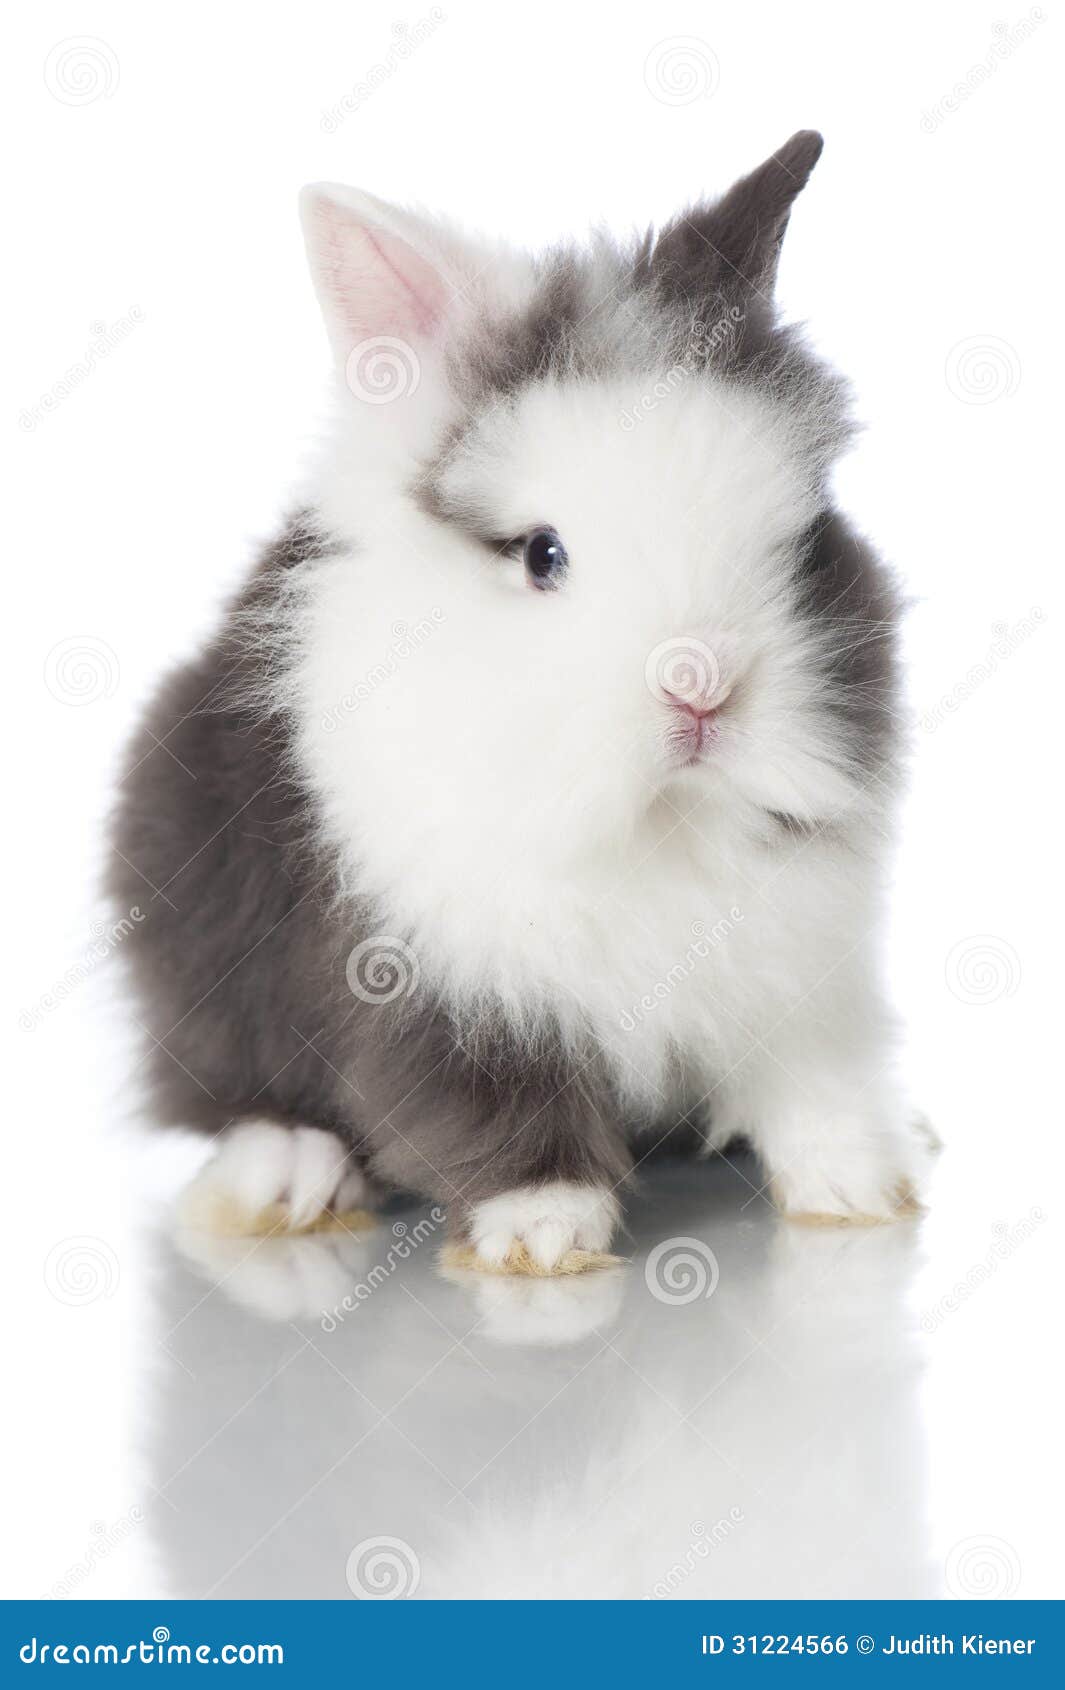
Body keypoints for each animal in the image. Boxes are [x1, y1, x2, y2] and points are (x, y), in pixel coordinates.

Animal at [110, 130, 927, 1270]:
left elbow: (813, 1080)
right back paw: (287, 1176)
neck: (654, 824)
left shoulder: (798, 968)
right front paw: (543, 1231)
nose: (703, 689)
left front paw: (857, 1186)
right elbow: (486, 1092)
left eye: (800, 540)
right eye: (543, 555)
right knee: (230, 1093)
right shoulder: (433, 975)